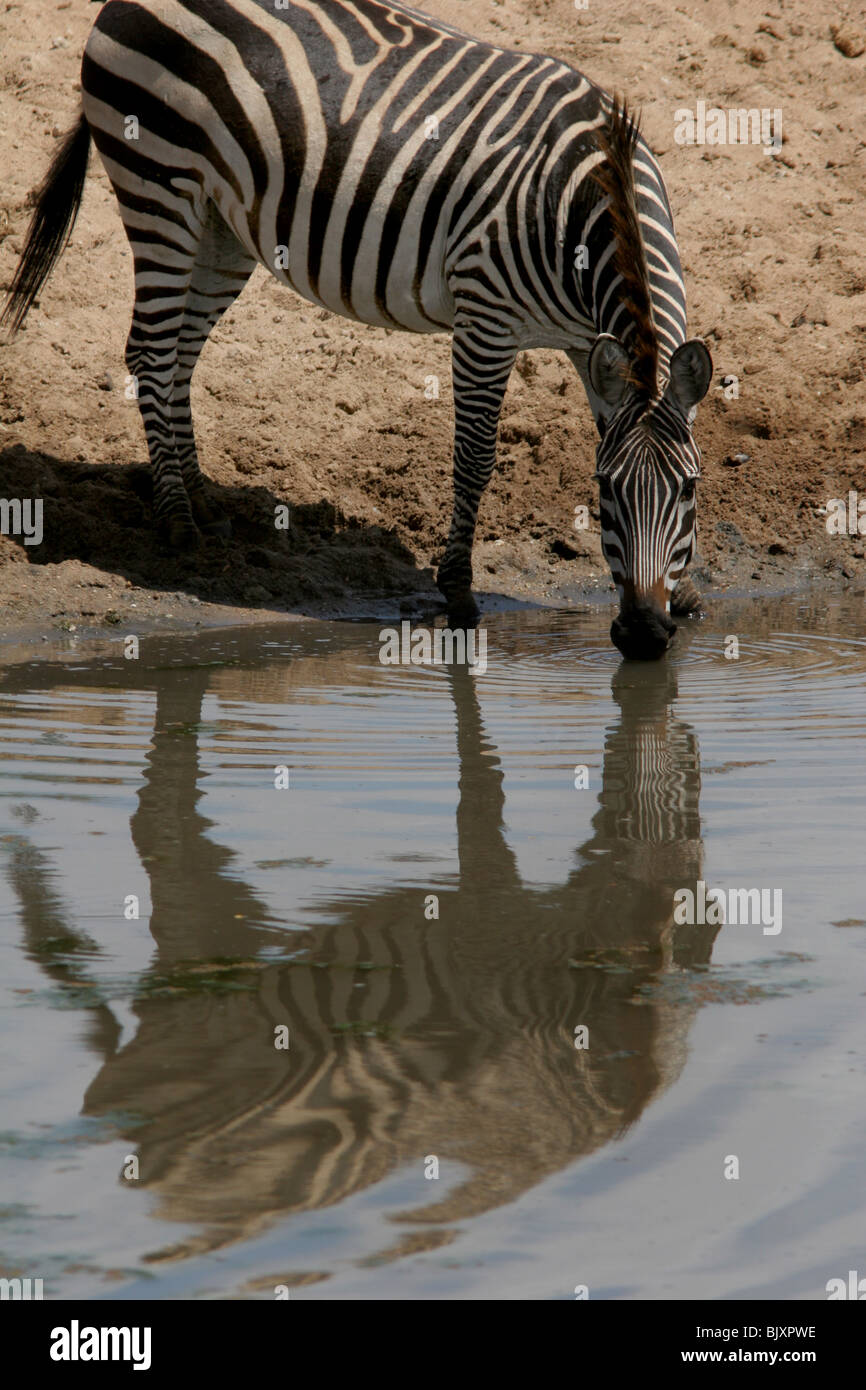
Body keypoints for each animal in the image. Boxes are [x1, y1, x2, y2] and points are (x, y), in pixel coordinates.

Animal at [2, 0, 712, 659]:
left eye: (690, 488)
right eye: (605, 489)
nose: (644, 636)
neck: (592, 200)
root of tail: (119, 4)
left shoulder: (589, 344)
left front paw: (682, 592)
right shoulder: (486, 317)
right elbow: (475, 456)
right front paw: (458, 590)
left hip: (219, 223)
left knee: (177, 356)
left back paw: (199, 497)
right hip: (159, 188)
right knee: (150, 352)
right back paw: (176, 519)